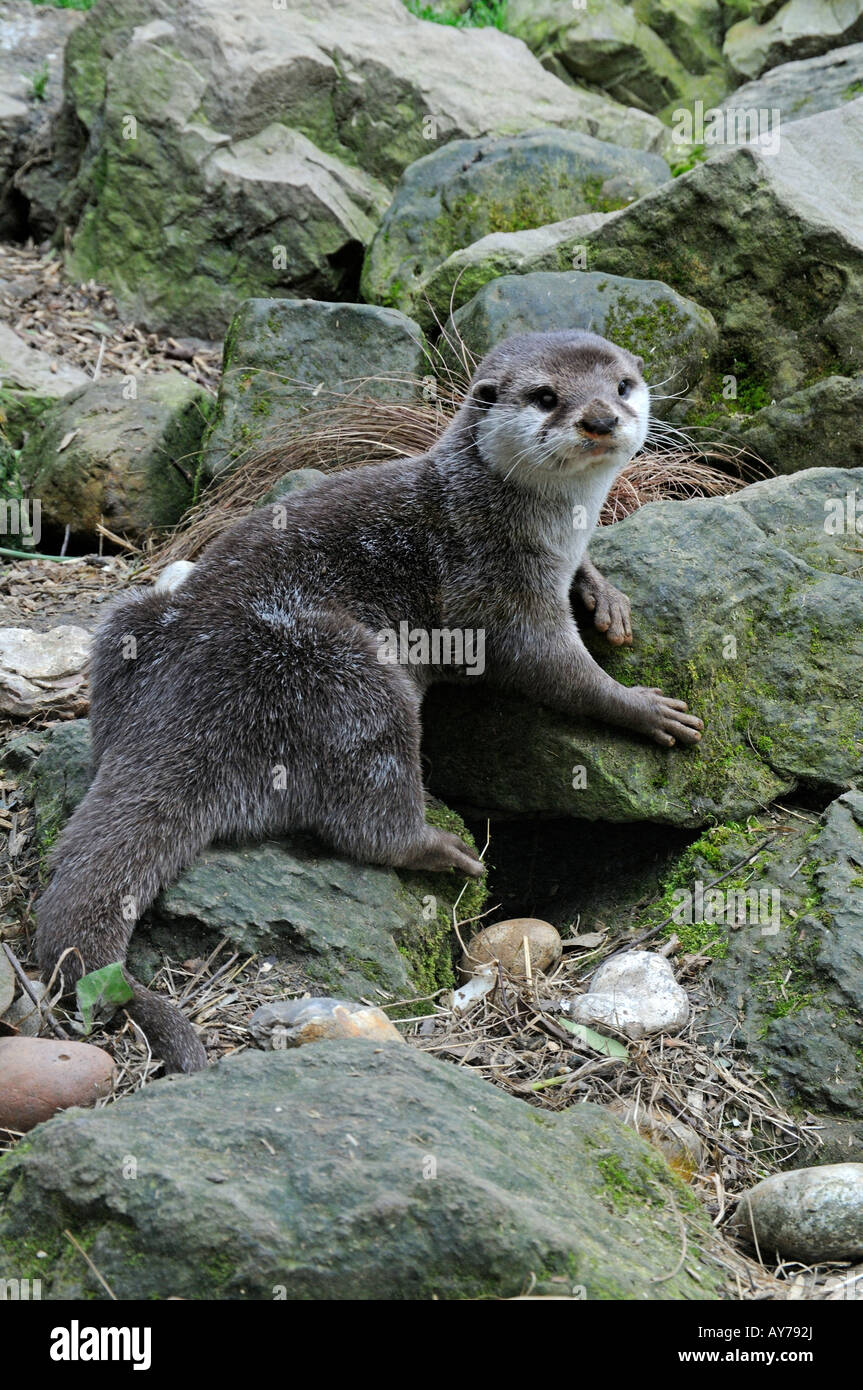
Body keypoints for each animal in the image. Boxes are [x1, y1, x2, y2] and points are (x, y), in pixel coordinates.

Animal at [36, 330, 702, 1073]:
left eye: (622, 385)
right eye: (546, 396)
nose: (600, 419)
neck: (508, 511)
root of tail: (184, 696)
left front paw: (604, 594)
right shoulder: (493, 582)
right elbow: (551, 671)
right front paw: (641, 708)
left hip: (132, 620)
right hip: (345, 670)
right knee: (361, 813)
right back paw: (438, 848)